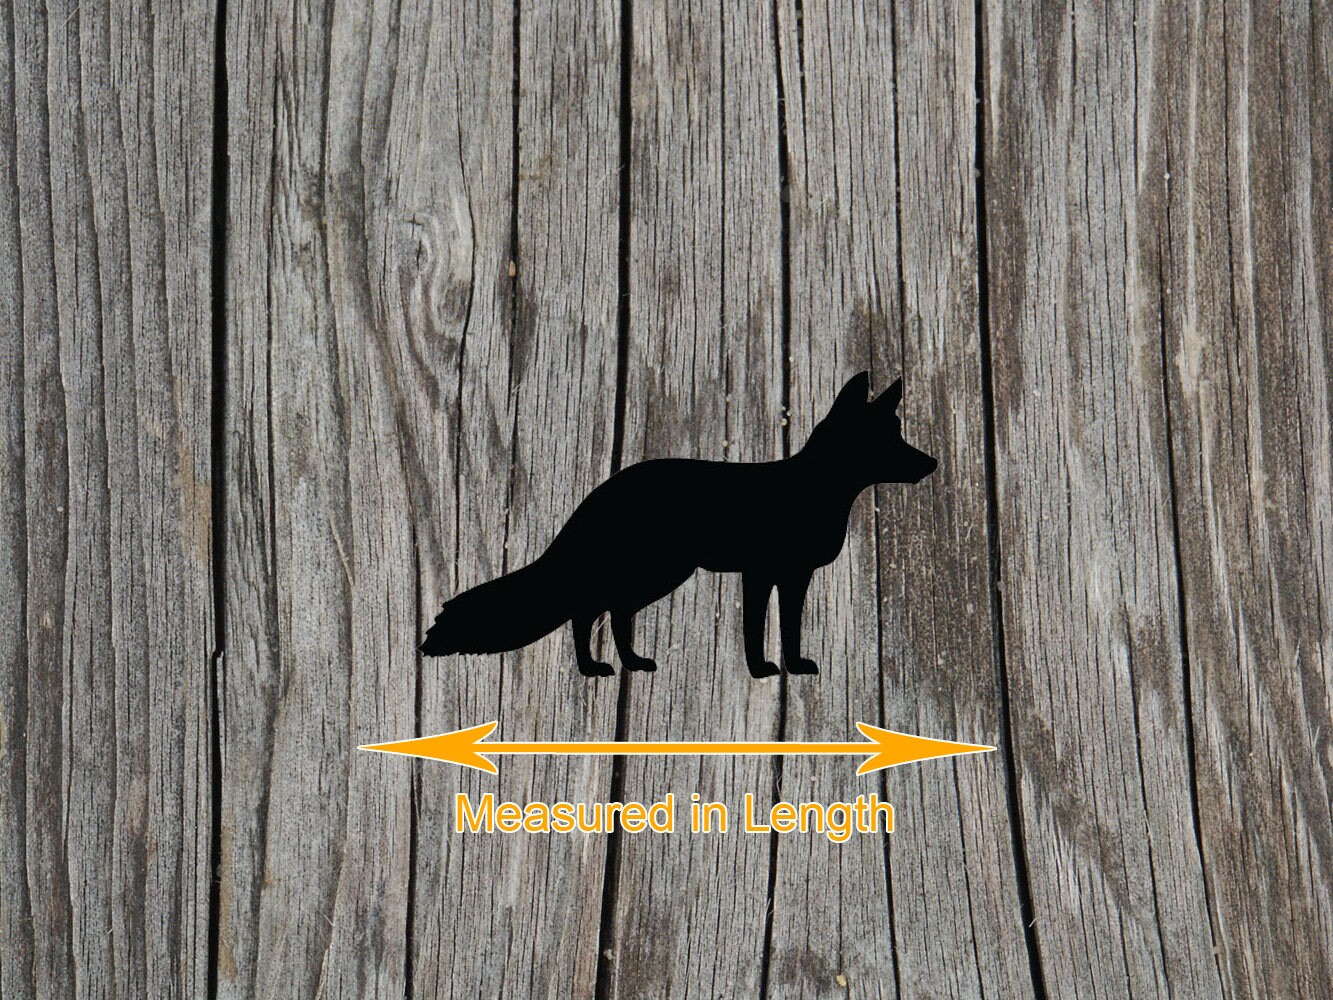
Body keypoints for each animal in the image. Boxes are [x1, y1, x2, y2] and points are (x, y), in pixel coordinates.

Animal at [420, 371, 937, 678]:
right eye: (888, 440)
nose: (932, 463)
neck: (816, 488)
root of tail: (600, 492)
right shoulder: (759, 574)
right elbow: (755, 628)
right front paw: (760, 669)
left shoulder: (794, 577)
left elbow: (789, 627)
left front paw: (793, 665)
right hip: (658, 571)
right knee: (587, 611)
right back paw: (593, 668)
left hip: (654, 574)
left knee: (613, 612)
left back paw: (630, 662)